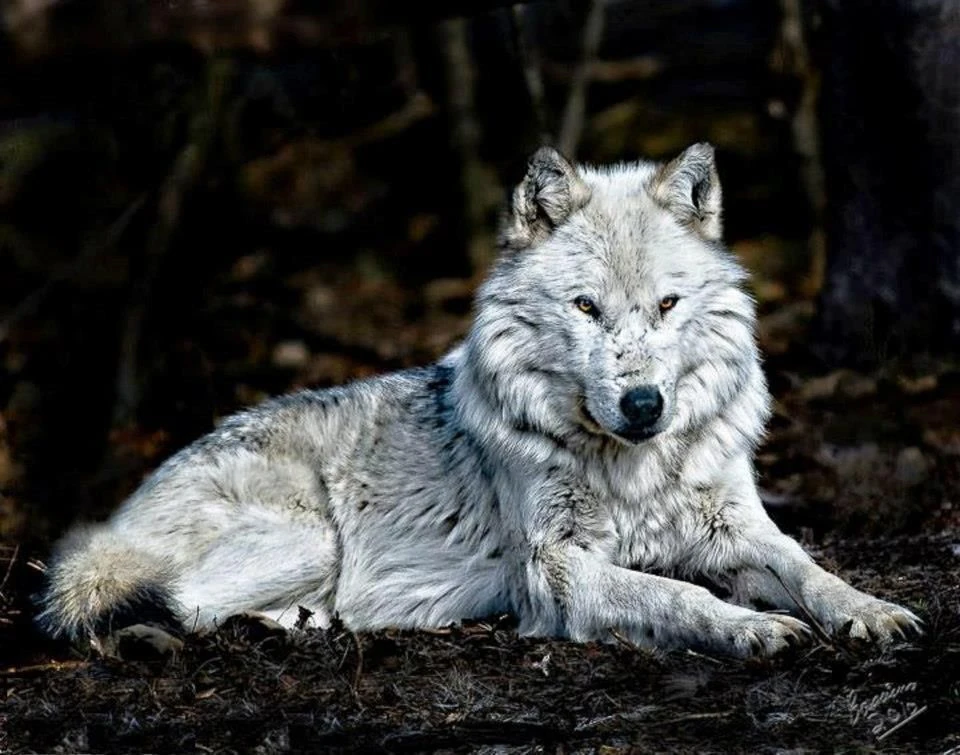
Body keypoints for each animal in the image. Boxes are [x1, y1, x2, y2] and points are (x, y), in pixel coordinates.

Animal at [39, 143, 921, 657]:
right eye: (586, 307)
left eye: (667, 305)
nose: (644, 404)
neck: (630, 469)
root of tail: (120, 515)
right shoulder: (555, 568)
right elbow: (675, 592)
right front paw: (750, 627)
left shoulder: (734, 524)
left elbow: (807, 564)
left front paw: (869, 609)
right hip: (312, 537)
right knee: (183, 603)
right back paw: (290, 625)